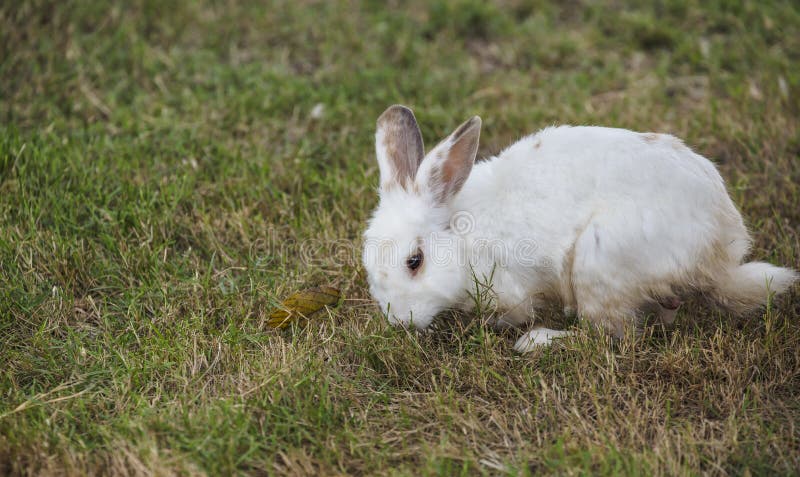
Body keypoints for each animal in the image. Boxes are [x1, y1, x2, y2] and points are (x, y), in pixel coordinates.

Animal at [362, 105, 798, 353]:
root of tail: (718, 256)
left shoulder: (512, 288)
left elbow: (516, 312)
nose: (399, 322)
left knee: (610, 335)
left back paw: (537, 342)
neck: (463, 235)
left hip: (596, 264)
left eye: (415, 261)